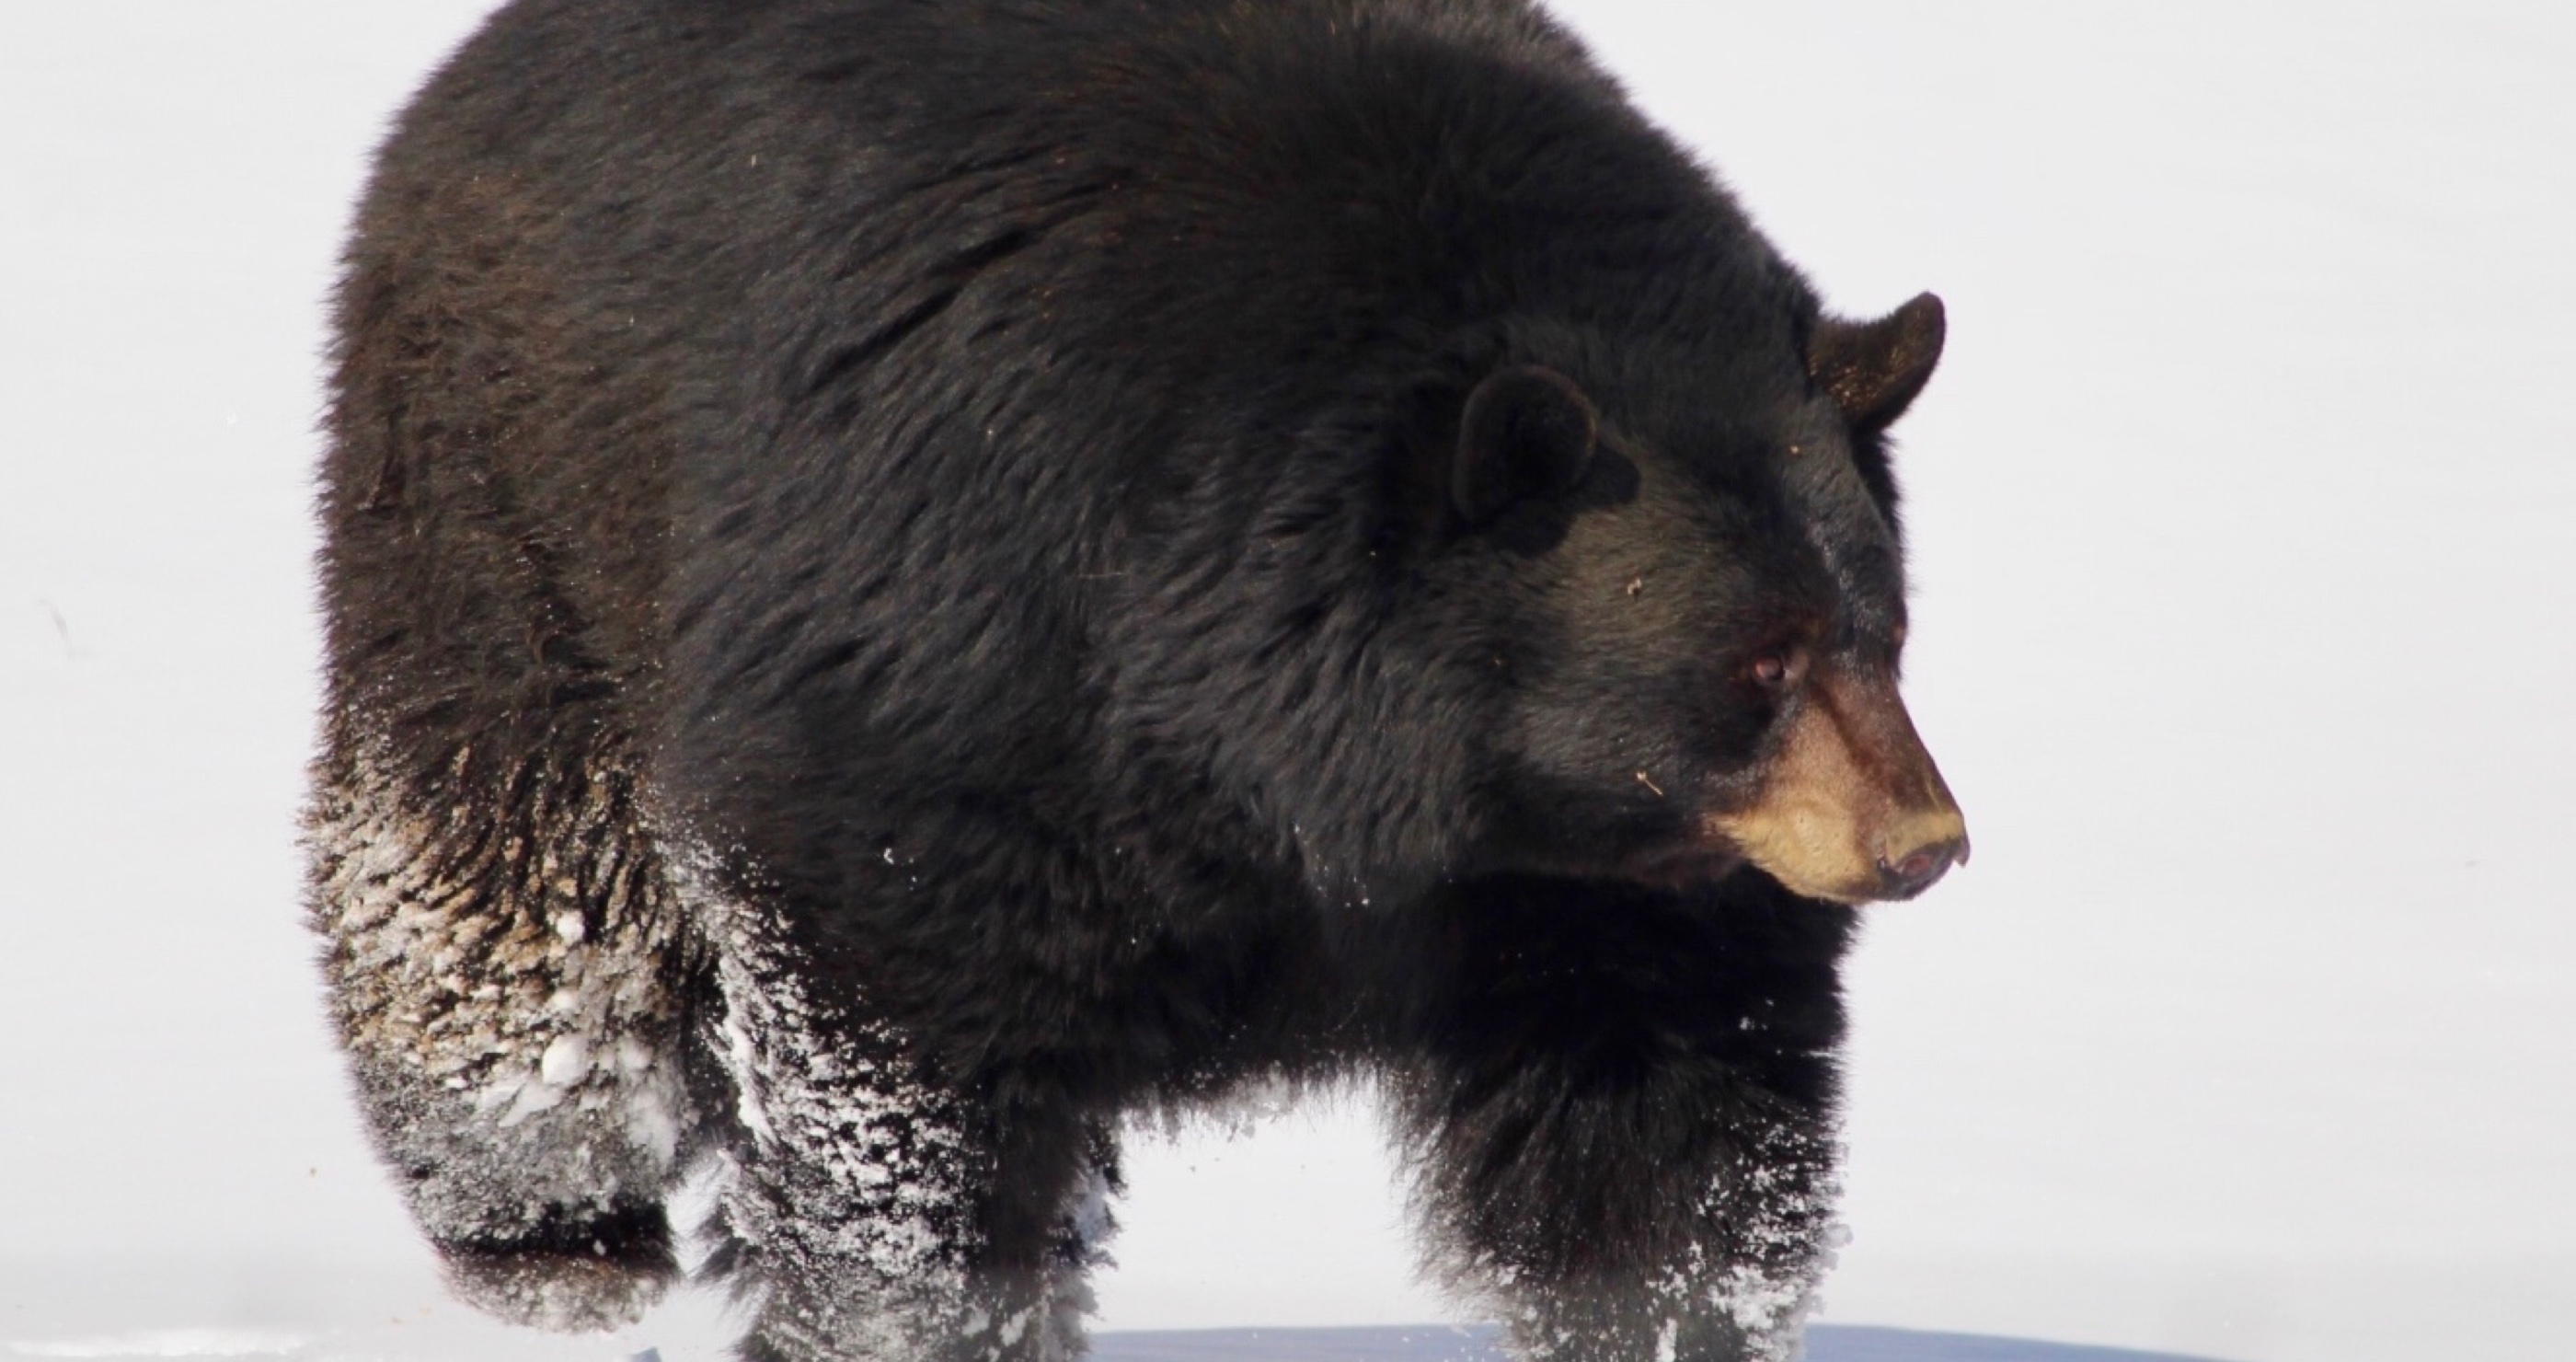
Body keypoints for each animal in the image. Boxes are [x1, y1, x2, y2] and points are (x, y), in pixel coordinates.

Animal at [303, 1, 1967, 1360]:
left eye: (1880, 630)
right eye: (1756, 660)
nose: (1926, 843)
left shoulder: (1591, 893)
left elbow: (1664, 1128)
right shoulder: (955, 653)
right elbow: (899, 1070)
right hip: (509, 508)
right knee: (512, 896)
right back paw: (549, 1245)